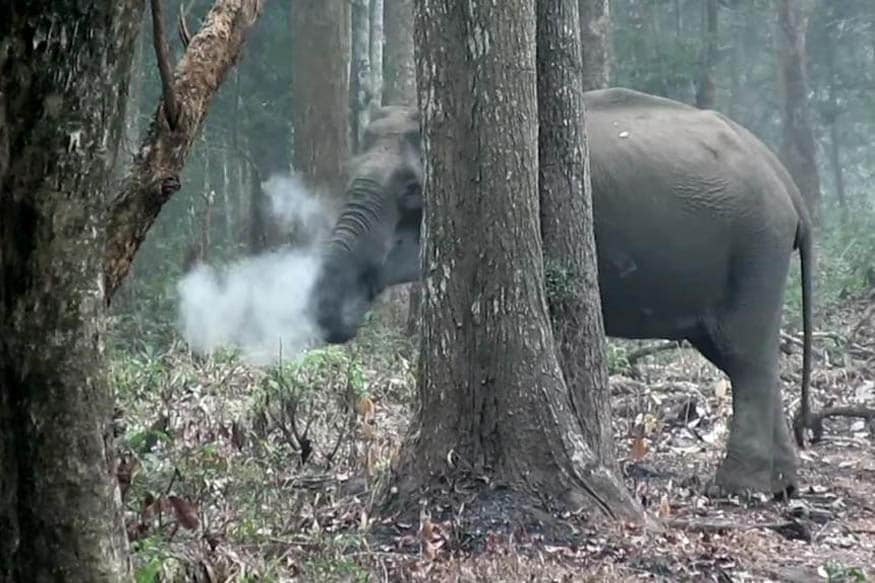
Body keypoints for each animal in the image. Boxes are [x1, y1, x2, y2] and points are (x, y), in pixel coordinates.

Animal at [309, 88, 813, 498]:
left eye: (413, 190)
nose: (328, 316)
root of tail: (791, 187)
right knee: (742, 357)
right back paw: (782, 486)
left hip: (755, 247)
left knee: (744, 355)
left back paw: (738, 489)